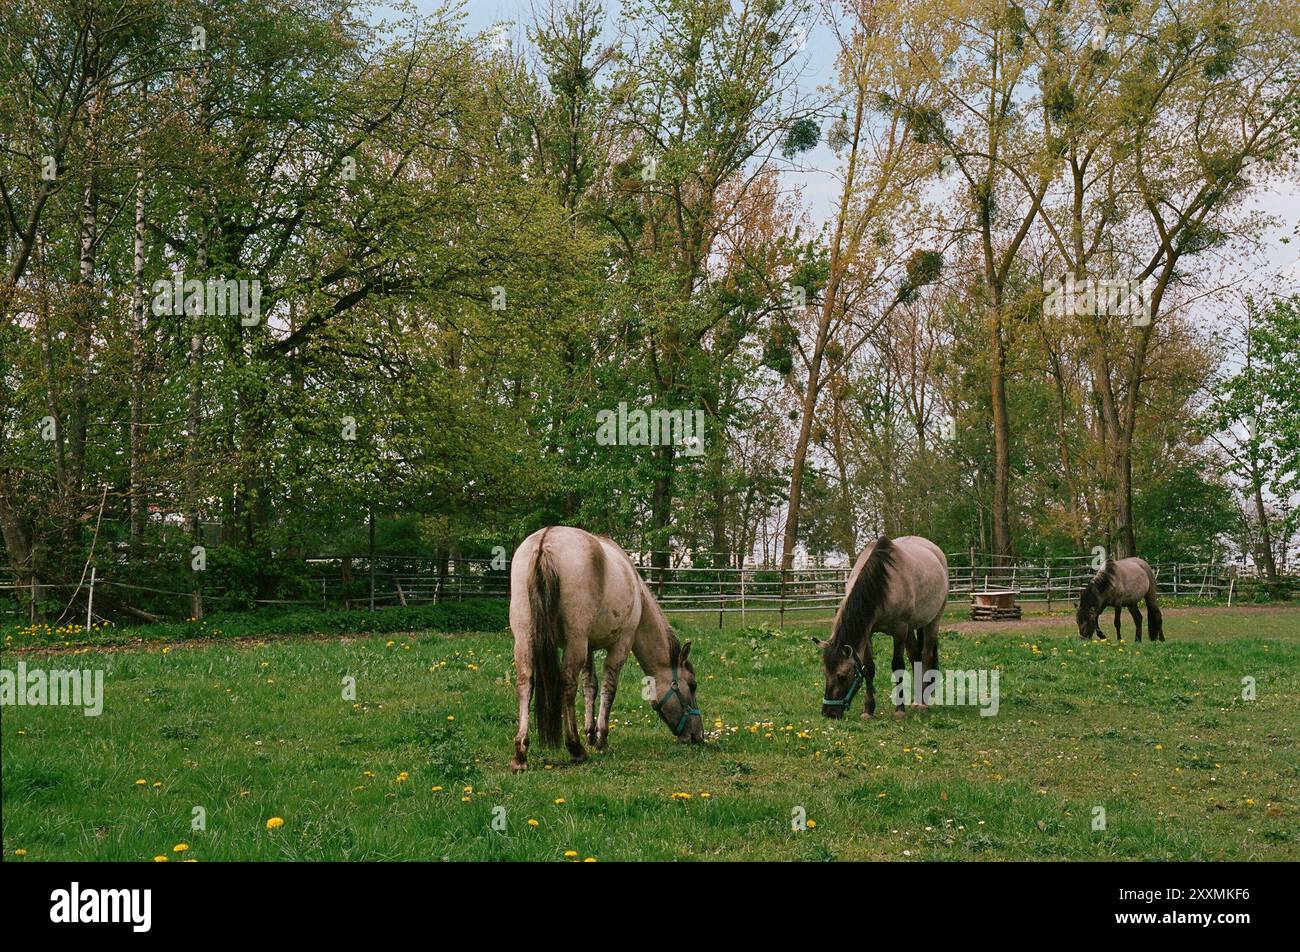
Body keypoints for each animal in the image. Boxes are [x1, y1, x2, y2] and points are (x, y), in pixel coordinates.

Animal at [507, 526, 703, 772]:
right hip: (575, 640)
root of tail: (546, 541)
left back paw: (520, 753)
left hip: (526, 636)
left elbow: (590, 686)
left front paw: (590, 732)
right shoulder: (621, 644)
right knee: (567, 684)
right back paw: (575, 748)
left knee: (525, 682)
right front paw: (601, 739)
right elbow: (609, 689)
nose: (699, 735)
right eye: (692, 686)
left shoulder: (589, 648)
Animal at [813, 535, 949, 719]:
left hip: (933, 621)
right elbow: (869, 668)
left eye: (842, 676)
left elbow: (897, 666)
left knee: (927, 656)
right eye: (825, 673)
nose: (829, 713)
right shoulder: (868, 633)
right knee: (915, 656)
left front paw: (899, 710)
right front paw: (868, 710)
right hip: (912, 627)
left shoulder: (899, 630)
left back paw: (923, 703)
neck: (882, 584)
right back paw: (916, 699)